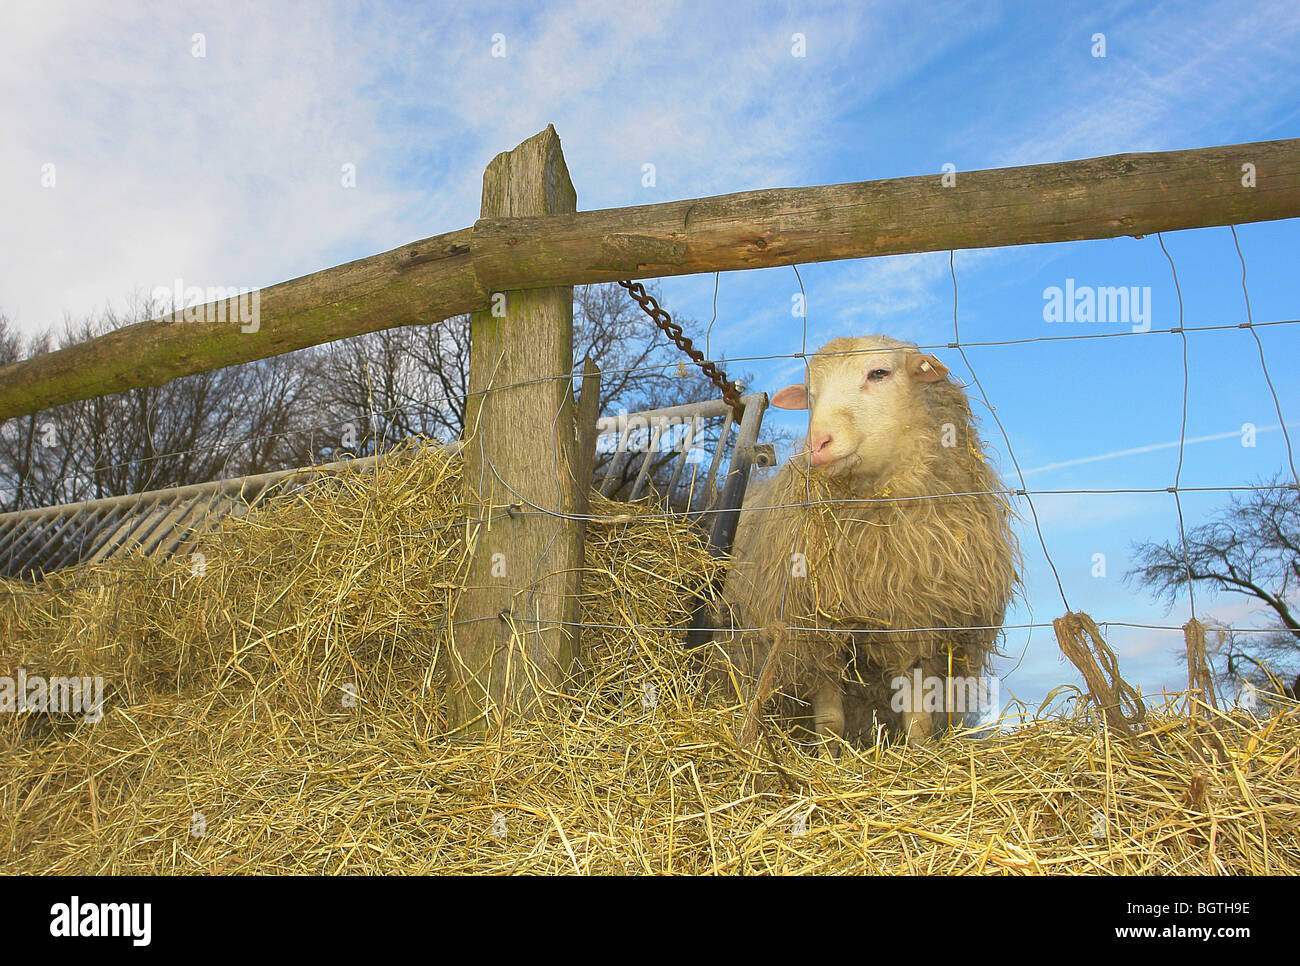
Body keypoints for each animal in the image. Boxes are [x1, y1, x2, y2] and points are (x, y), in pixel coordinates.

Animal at [707, 335, 1020, 749]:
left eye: (879, 373)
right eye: (810, 393)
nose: (818, 444)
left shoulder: (917, 622)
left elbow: (918, 716)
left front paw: (918, 751)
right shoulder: (814, 630)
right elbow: (829, 720)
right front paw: (827, 755)